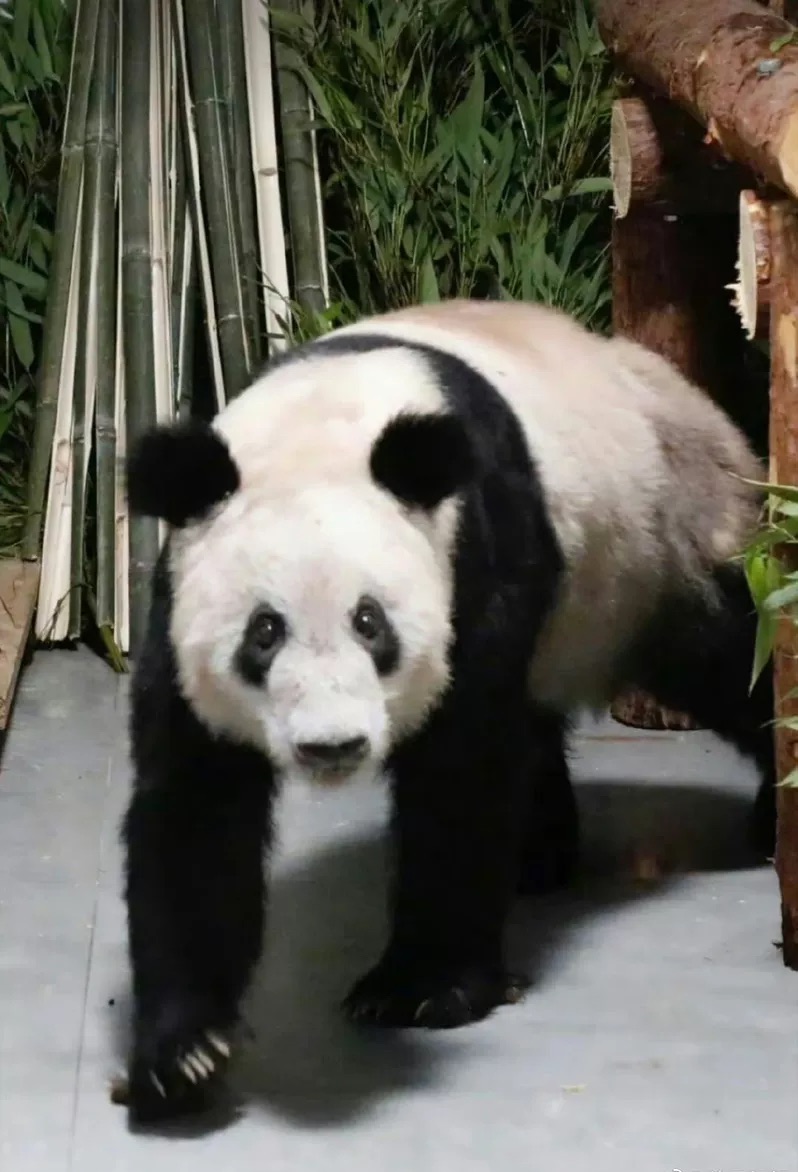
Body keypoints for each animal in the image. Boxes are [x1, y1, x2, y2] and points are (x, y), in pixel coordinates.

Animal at [122, 297, 775, 1123]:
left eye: (370, 622)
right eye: (264, 633)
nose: (332, 747)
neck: (321, 421)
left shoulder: (476, 553)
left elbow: (461, 769)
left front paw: (420, 989)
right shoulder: (178, 601)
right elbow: (196, 806)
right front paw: (184, 1050)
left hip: (668, 539)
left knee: (733, 656)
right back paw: (538, 858)